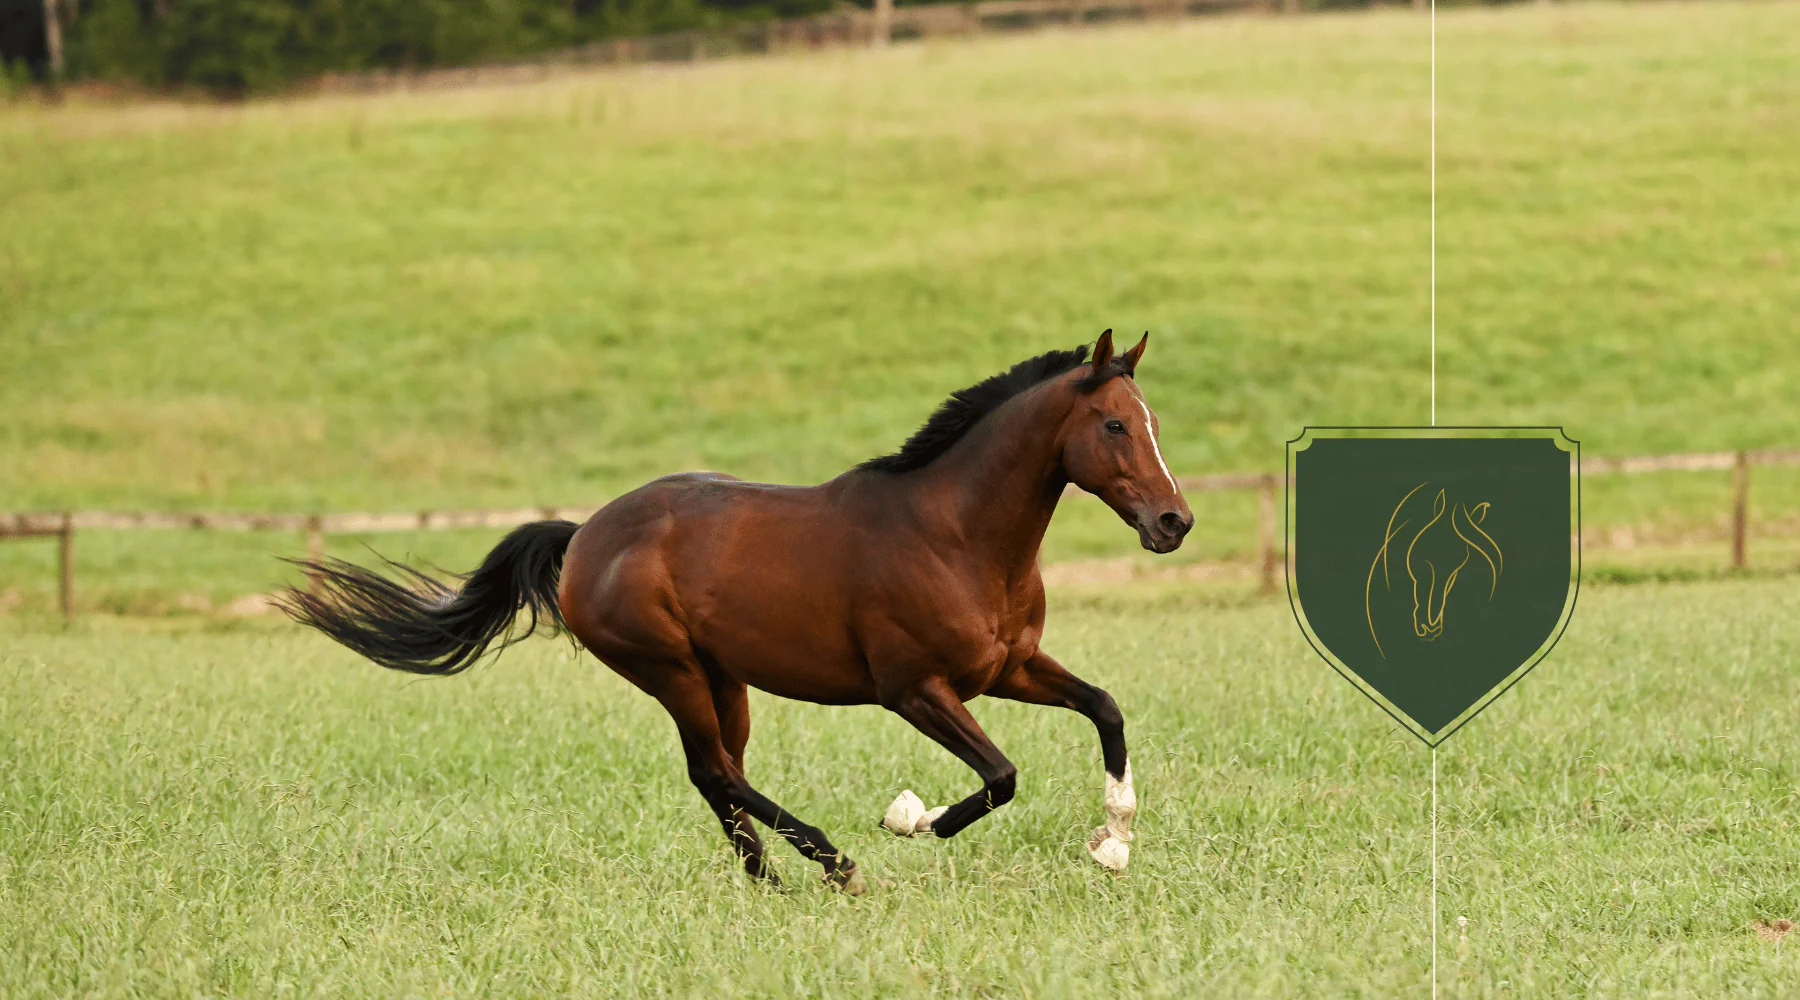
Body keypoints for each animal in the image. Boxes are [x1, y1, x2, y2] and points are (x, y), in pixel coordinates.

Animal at [279, 330, 1193, 894]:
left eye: (1153, 420)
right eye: (1115, 424)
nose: (1173, 522)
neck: (956, 535)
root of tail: (587, 534)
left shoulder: (1009, 667)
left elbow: (1105, 709)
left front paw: (1114, 842)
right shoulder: (913, 689)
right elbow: (1000, 776)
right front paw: (910, 818)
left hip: (723, 679)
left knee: (720, 773)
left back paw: (775, 880)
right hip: (670, 668)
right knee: (716, 772)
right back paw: (834, 864)